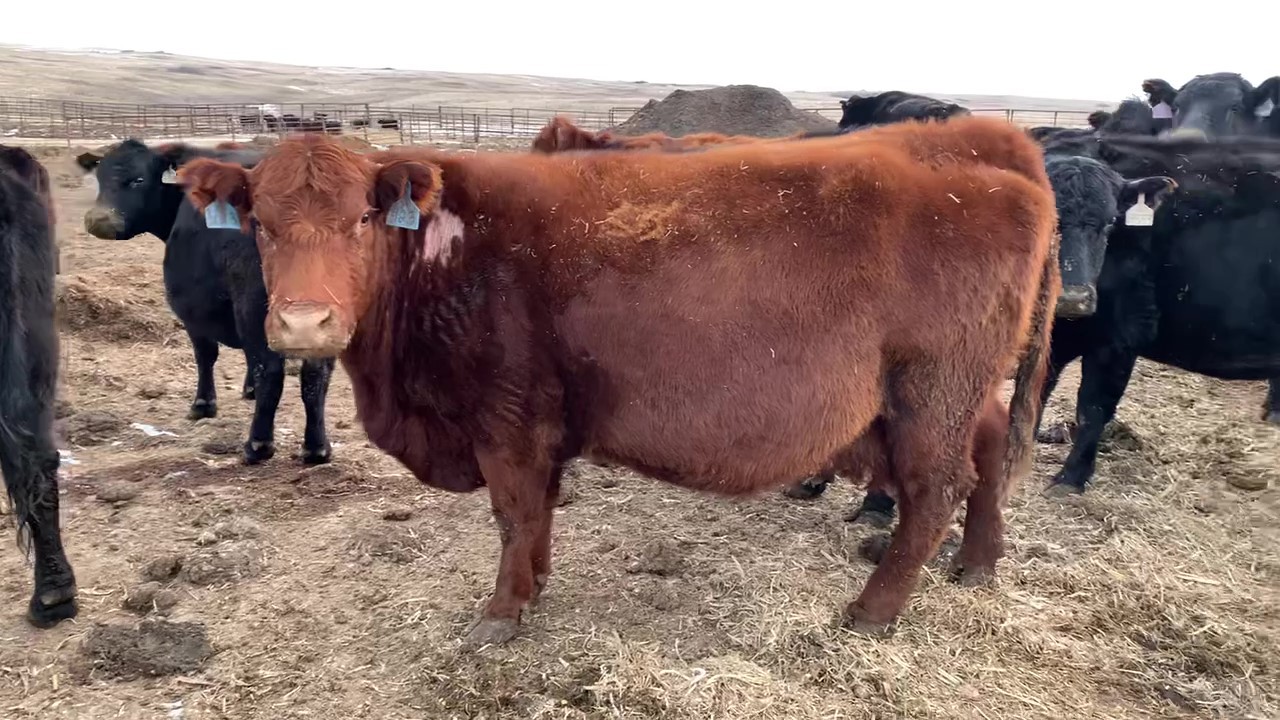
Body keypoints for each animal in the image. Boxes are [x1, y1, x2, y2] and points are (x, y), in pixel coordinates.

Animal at [75, 140, 335, 466]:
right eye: (100, 178)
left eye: (138, 179)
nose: (98, 221)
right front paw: (248, 389)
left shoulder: (193, 309)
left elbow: (205, 355)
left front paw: (202, 404)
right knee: (315, 373)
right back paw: (317, 448)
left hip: (253, 305)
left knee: (272, 370)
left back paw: (258, 445)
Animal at [176, 117, 1060, 646]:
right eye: (259, 223)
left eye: (362, 218)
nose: (303, 325)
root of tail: (985, 147)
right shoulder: (536, 425)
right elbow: (535, 514)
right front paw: (536, 584)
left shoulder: (506, 419)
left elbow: (513, 511)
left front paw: (503, 611)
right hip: (959, 393)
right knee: (984, 460)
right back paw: (978, 562)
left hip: (931, 392)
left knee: (936, 490)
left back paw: (873, 611)